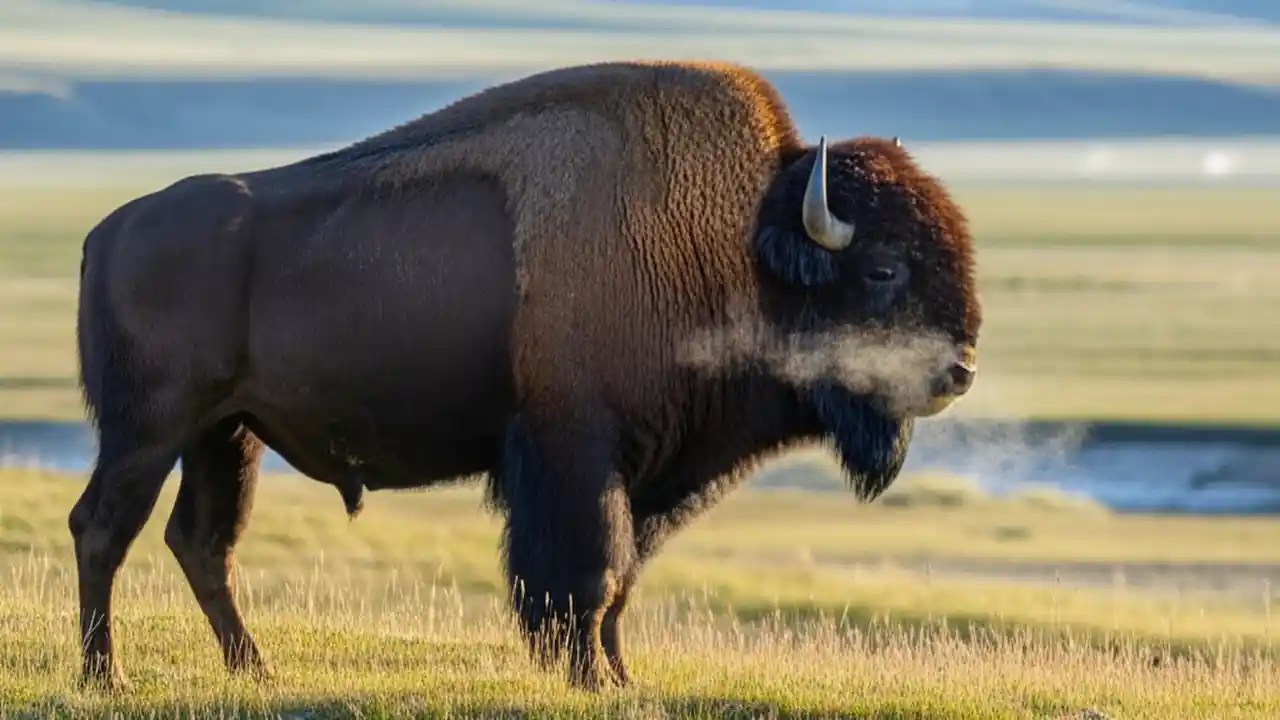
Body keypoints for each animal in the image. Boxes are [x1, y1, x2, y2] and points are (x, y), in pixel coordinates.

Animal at [71, 60, 980, 690]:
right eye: (884, 269)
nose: (960, 371)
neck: (736, 247)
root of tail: (106, 232)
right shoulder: (574, 454)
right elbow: (589, 574)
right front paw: (592, 679)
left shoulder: (638, 474)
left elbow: (621, 581)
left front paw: (619, 676)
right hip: (147, 432)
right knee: (104, 528)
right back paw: (106, 676)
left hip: (226, 437)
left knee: (202, 544)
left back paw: (255, 670)